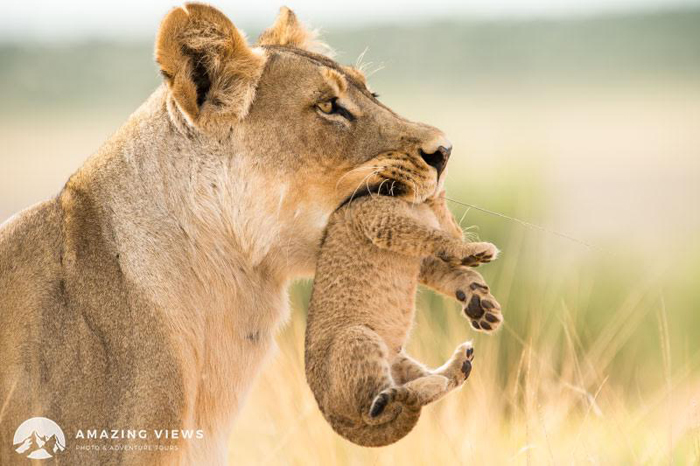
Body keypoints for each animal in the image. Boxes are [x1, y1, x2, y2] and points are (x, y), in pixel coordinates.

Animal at [306, 191, 501, 447]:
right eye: (445, 206)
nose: (459, 231)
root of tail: (330, 415)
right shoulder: (380, 222)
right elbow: (430, 234)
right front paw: (472, 251)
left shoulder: (422, 260)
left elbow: (450, 273)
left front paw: (480, 304)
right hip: (356, 335)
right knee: (375, 410)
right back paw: (435, 381)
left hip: (396, 358)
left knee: (410, 390)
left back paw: (460, 365)